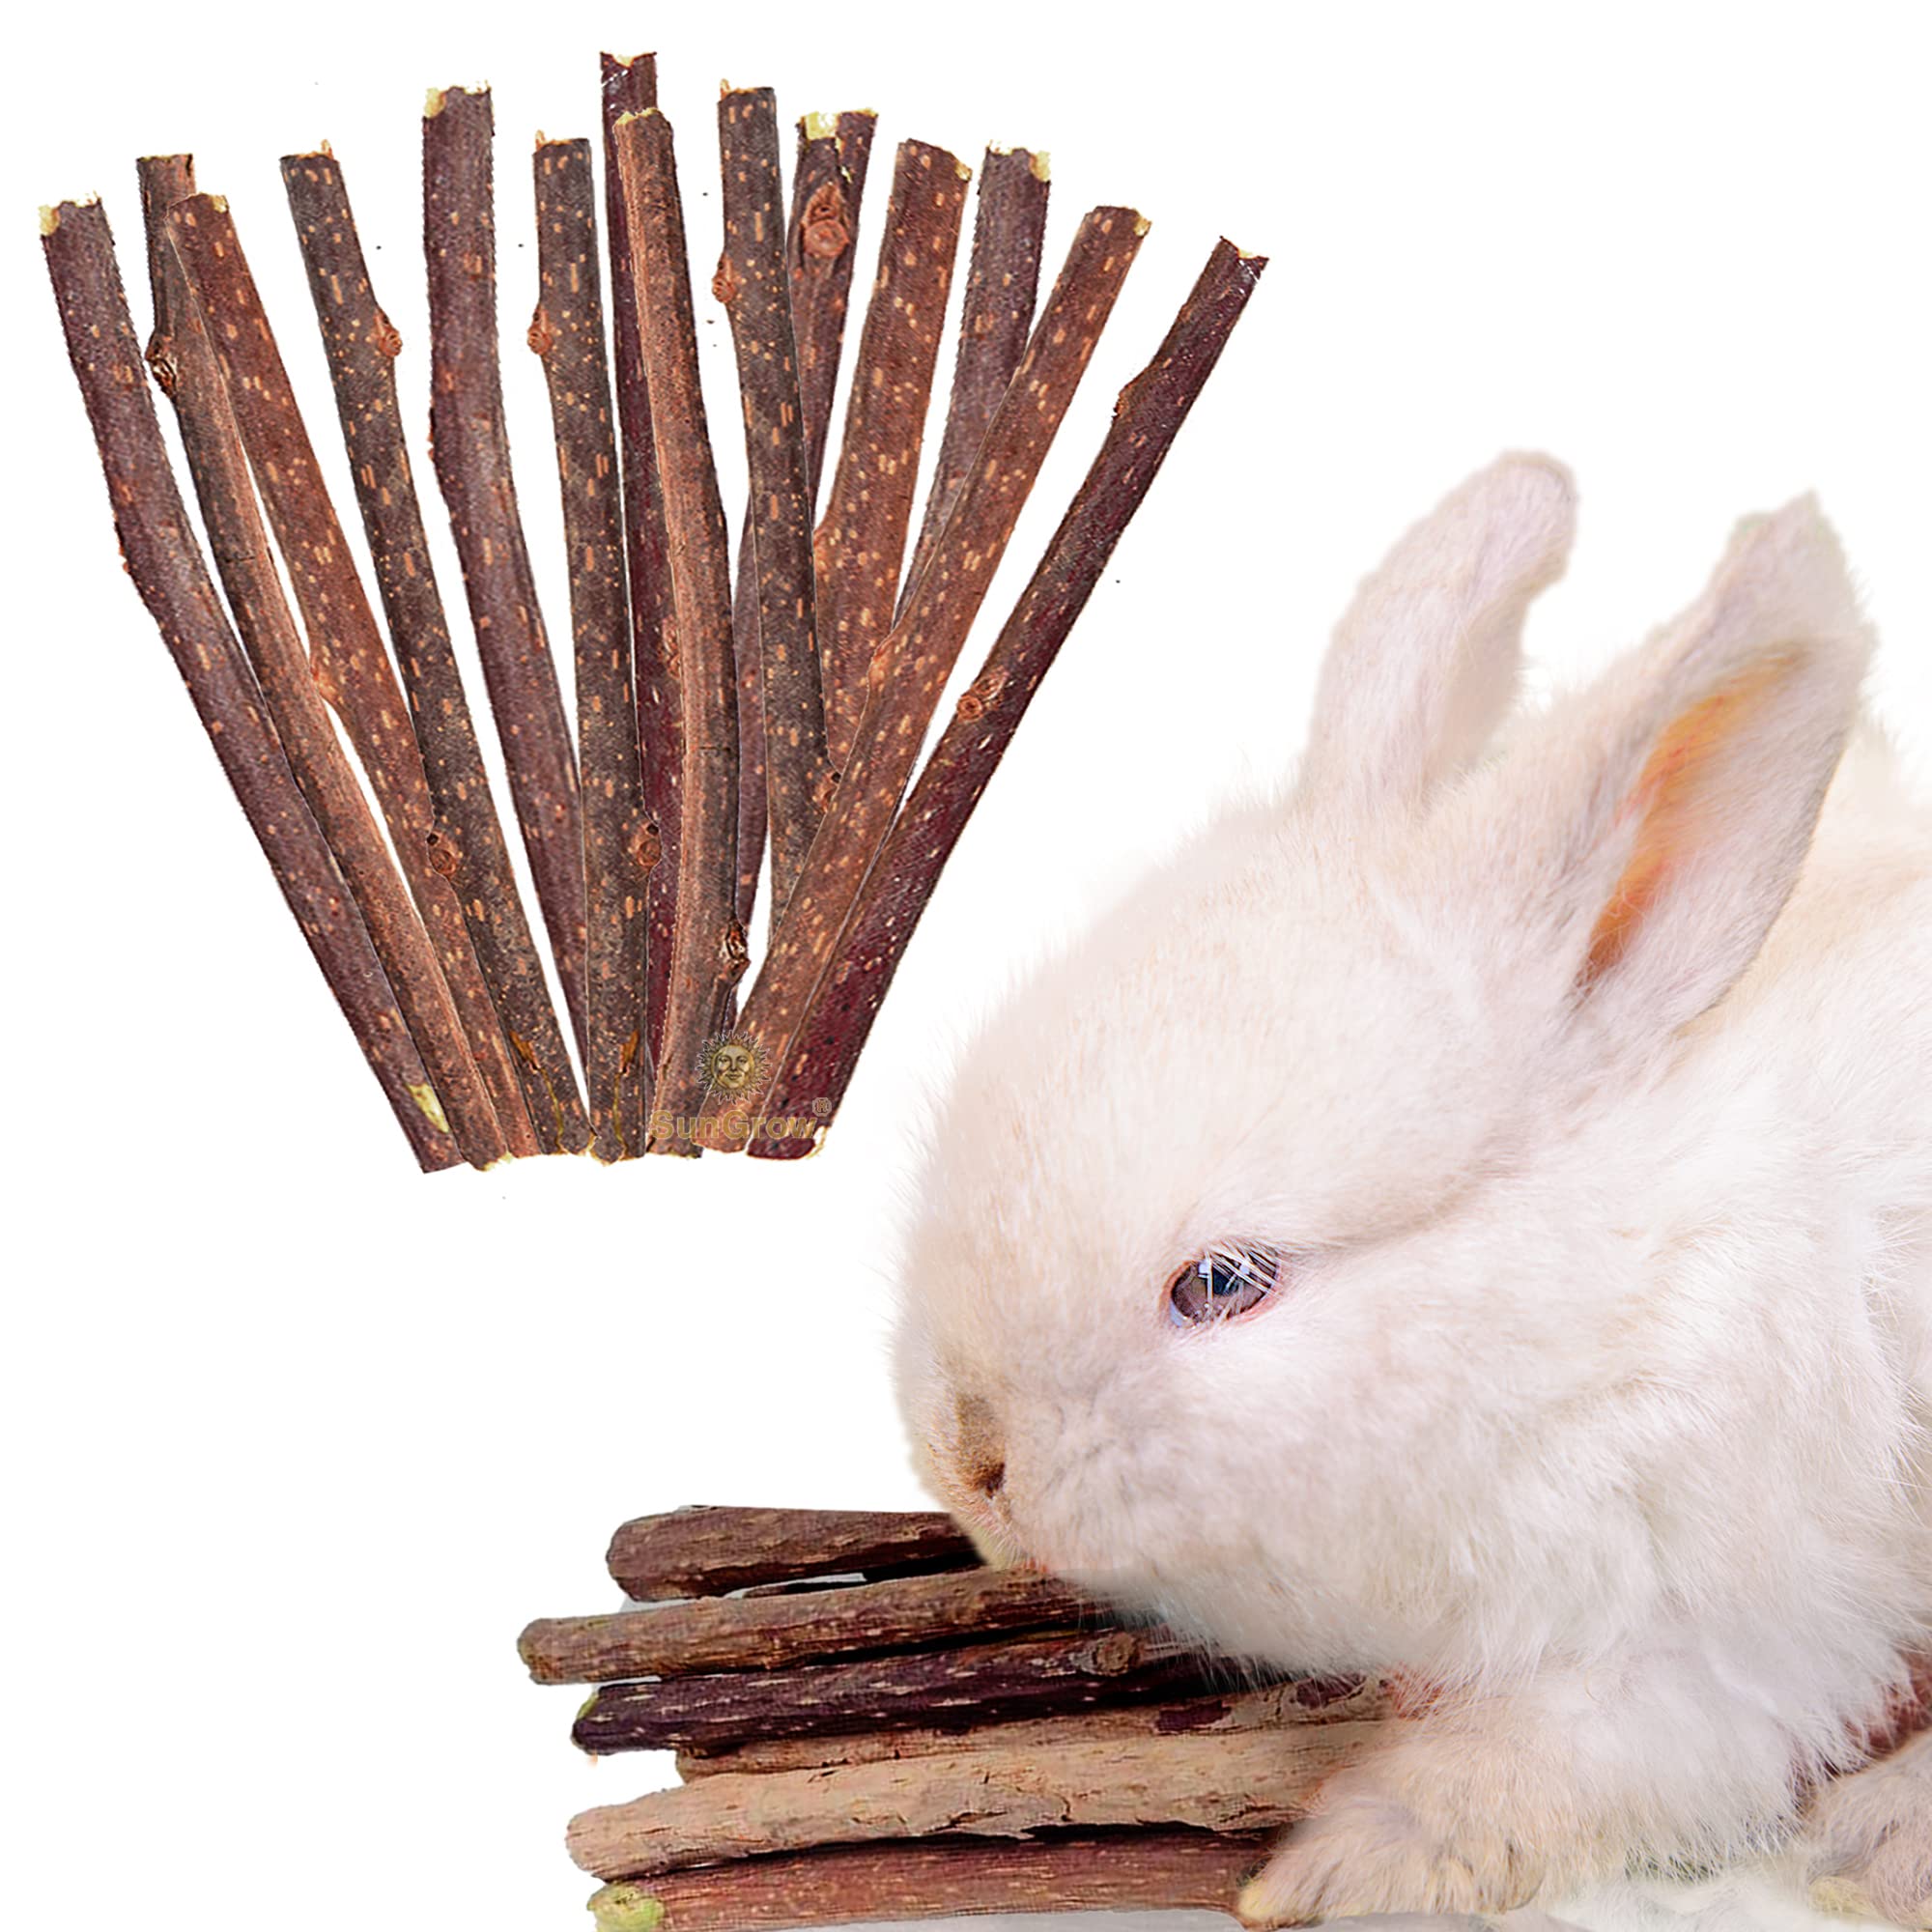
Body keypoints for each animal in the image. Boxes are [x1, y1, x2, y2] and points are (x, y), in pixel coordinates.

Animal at [892, 454, 1932, 1927]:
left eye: (1223, 1282)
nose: (971, 1462)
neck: (1605, 1302)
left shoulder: (1719, 1633)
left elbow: (1533, 1774)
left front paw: (1322, 1869)